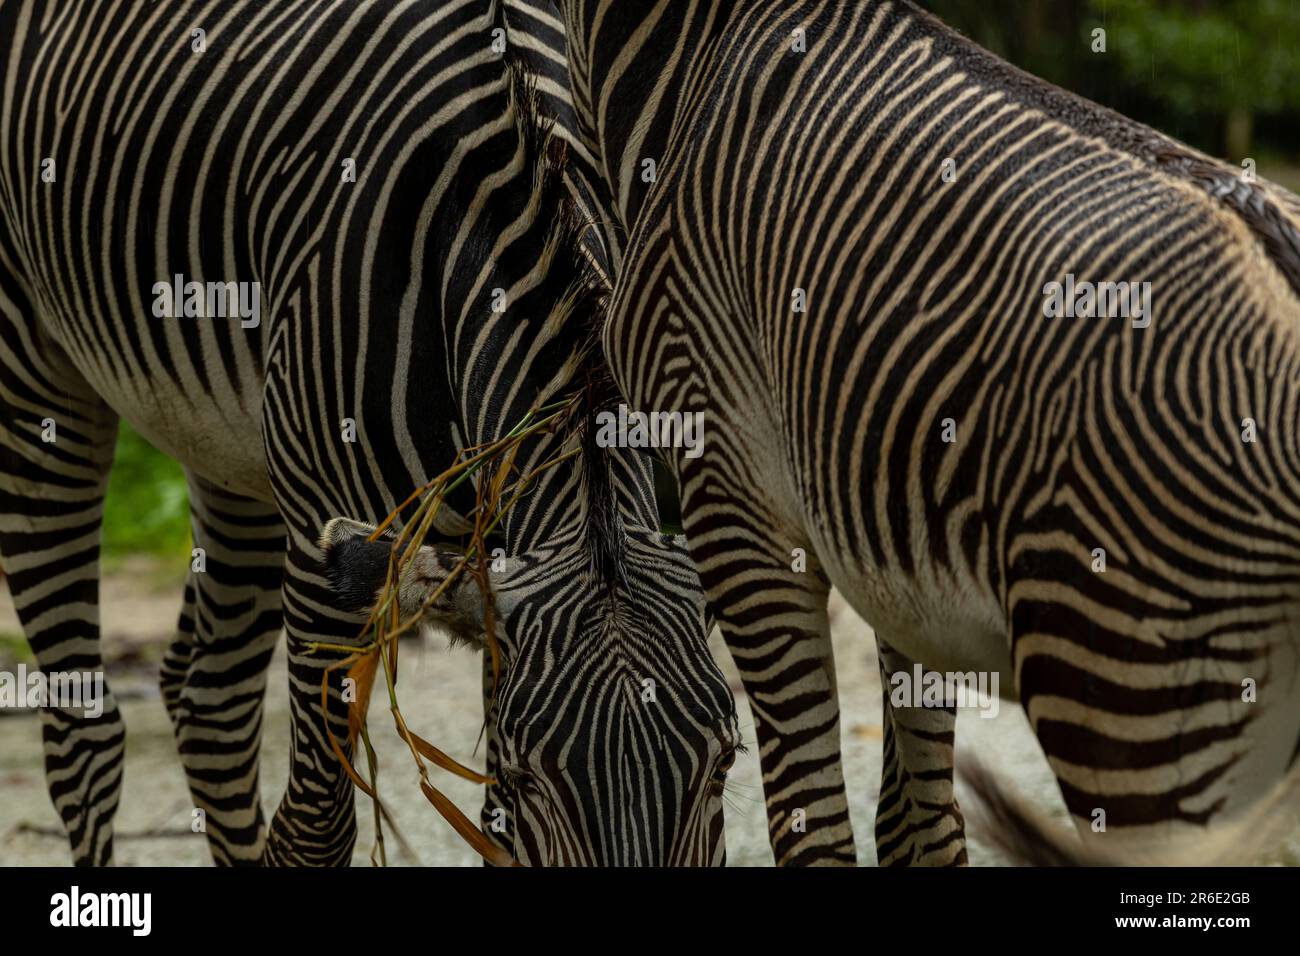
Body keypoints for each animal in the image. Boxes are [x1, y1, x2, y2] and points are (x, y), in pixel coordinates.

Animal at [0, 0, 737, 866]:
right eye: (530, 774)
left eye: (726, 763)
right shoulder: (331, 554)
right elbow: (316, 828)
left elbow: (495, 829)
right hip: (33, 366)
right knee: (82, 738)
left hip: (231, 444)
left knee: (209, 699)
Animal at [542, 0, 1300, 864]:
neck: (685, 63)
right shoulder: (894, 535)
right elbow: (918, 821)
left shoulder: (732, 495)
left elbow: (812, 825)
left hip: (1132, 679)